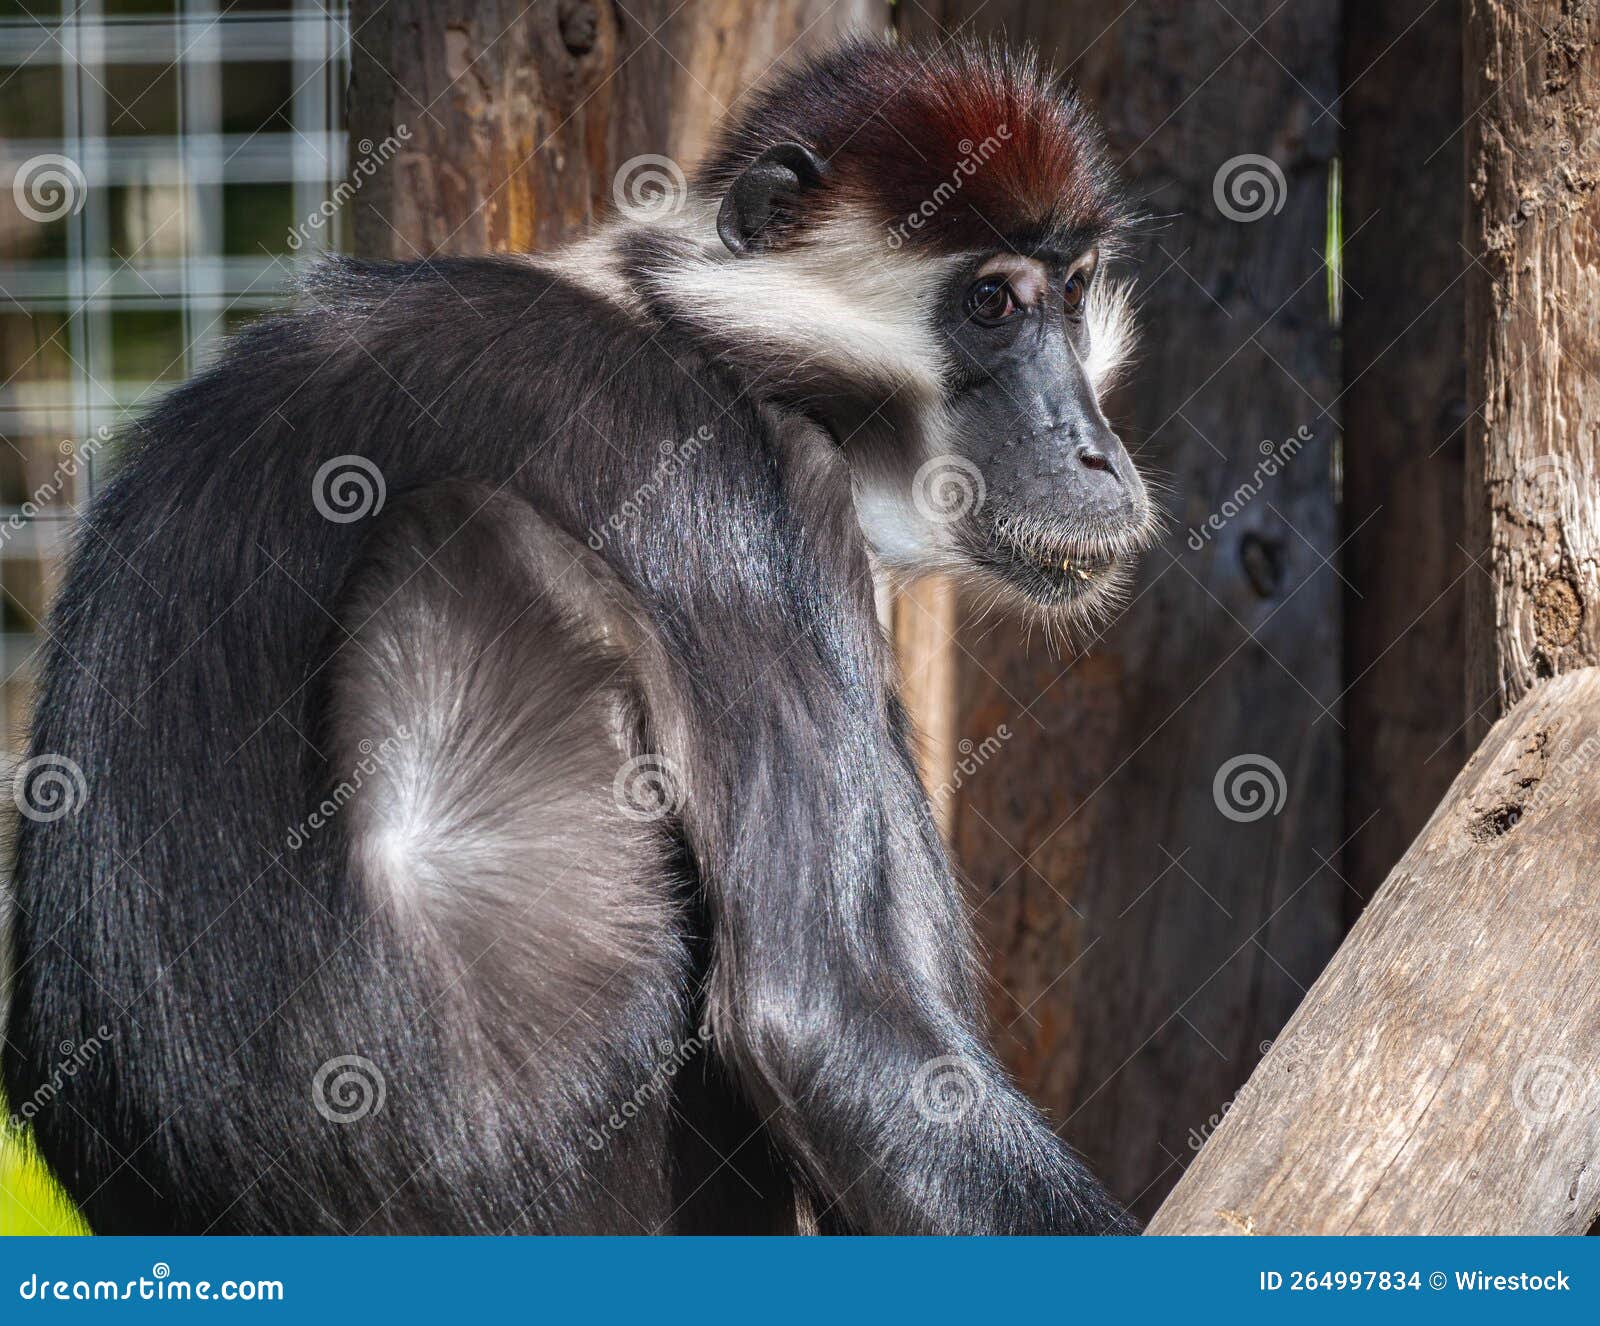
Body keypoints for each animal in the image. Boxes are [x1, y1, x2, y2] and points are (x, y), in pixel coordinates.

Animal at [2, 35, 1155, 1235]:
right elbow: (831, 1021)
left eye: (1073, 297)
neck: (677, 318)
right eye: (991, 305)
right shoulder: (727, 476)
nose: (1093, 454)